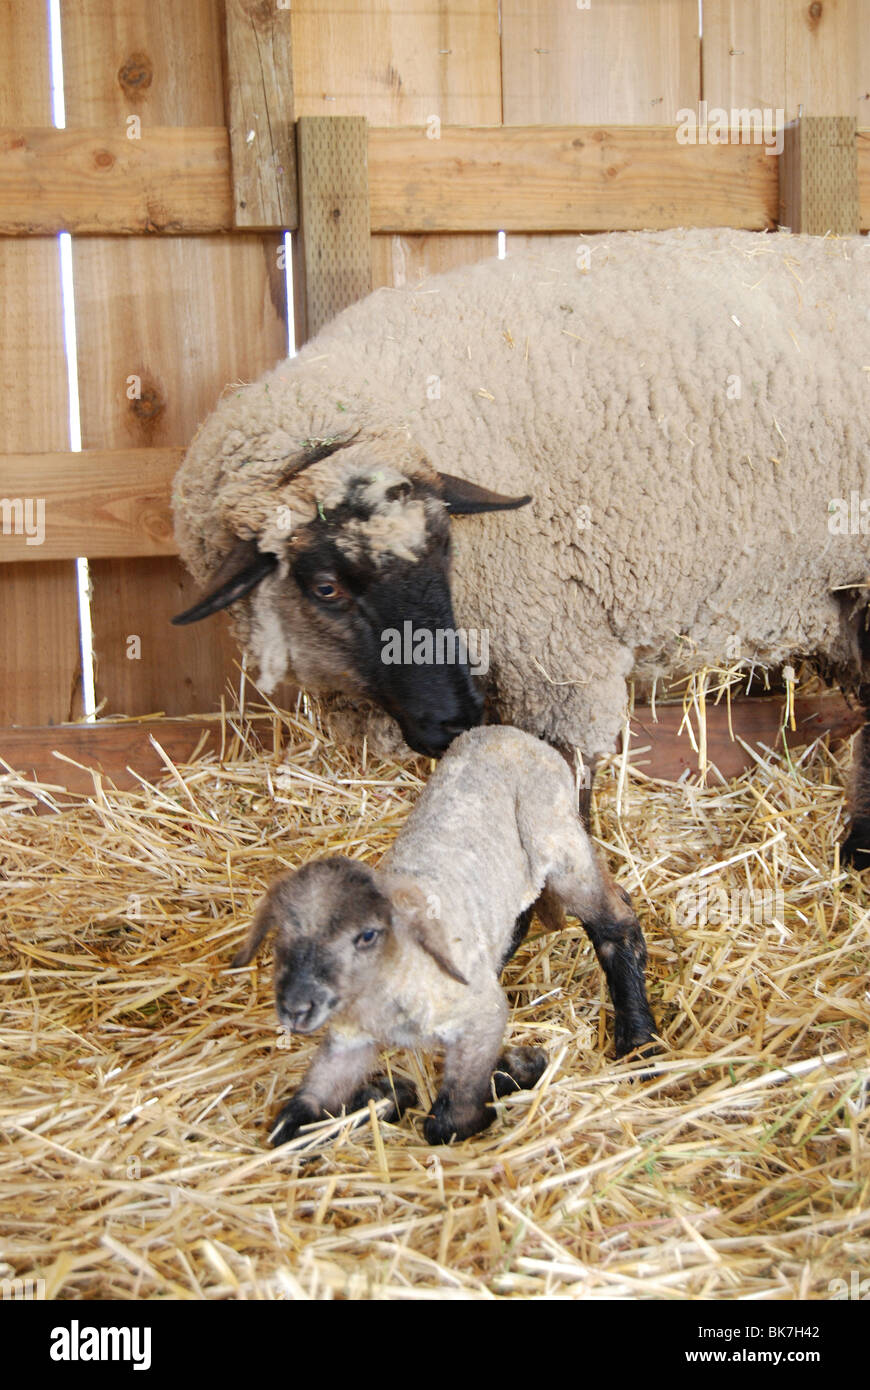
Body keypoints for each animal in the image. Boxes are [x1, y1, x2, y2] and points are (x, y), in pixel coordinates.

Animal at [232, 725, 657, 1145]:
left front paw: (516, 1070)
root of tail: (514, 734)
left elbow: (446, 1124)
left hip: (561, 845)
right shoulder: (348, 1041)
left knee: (616, 920)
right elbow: (290, 1128)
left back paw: (638, 1040)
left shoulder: (482, 1017)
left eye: (367, 935)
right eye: (280, 934)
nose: (295, 1008)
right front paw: (385, 1095)